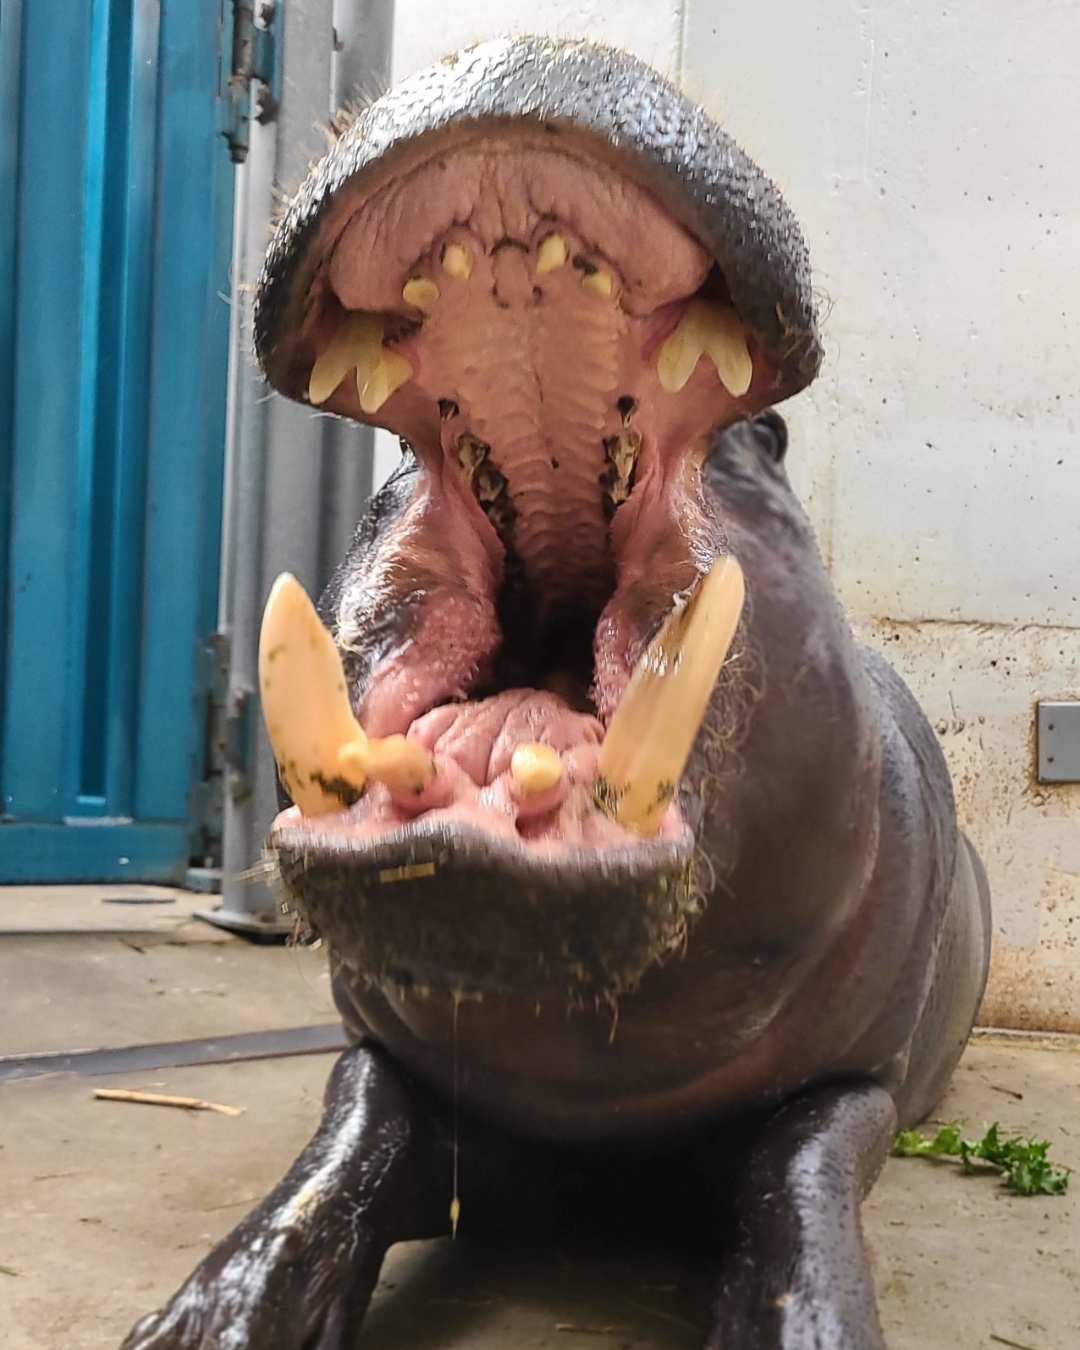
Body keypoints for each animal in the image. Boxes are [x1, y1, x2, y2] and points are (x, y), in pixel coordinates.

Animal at [122, 37, 991, 1350]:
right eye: (386, 474)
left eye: (775, 442)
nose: (543, 42)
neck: (598, 1095)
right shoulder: (389, 1050)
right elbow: (350, 1128)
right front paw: (206, 1319)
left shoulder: (863, 1081)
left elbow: (804, 1158)